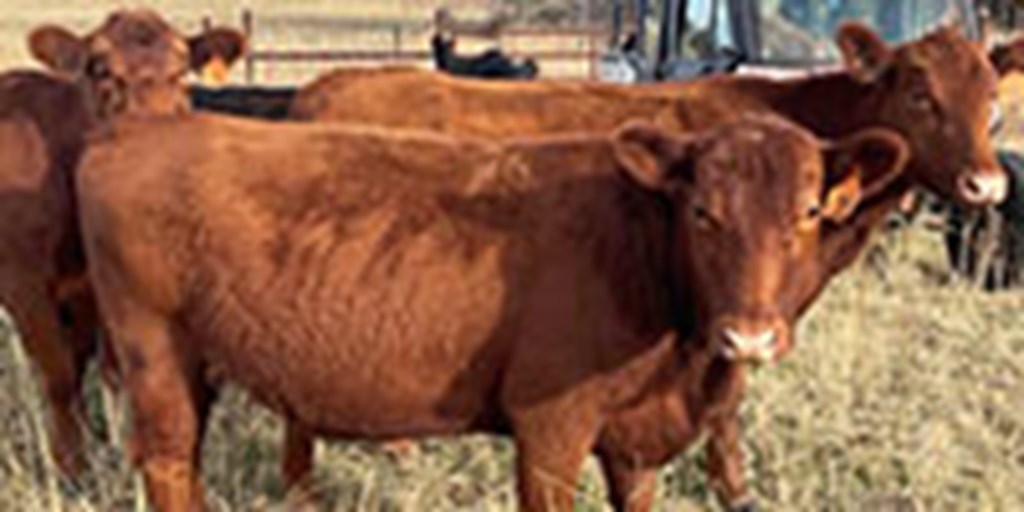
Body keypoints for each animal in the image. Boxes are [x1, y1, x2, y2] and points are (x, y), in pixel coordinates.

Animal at [1, 10, 244, 479]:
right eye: (100, 70)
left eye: (182, 70)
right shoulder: (23, 283)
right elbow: (59, 374)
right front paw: (71, 466)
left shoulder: (90, 287)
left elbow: (104, 368)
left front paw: (112, 450)